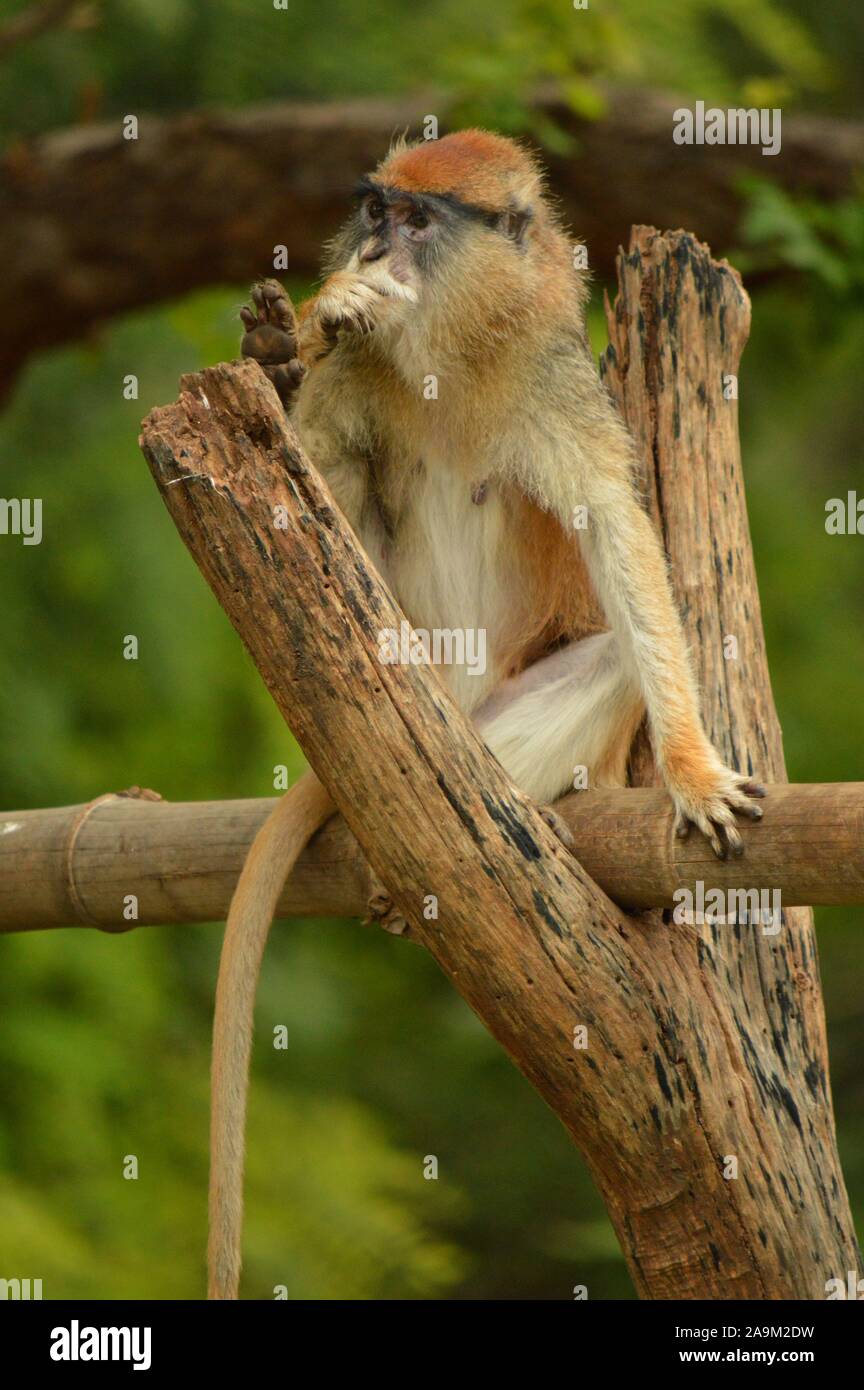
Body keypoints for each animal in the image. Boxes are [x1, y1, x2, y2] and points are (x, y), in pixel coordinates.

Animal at [208, 128, 766, 1299]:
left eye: (421, 222)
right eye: (376, 212)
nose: (376, 247)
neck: (453, 352)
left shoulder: (556, 386)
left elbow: (621, 544)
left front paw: (693, 772)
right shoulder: (363, 377)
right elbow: (297, 474)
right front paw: (308, 323)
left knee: (612, 662)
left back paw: (511, 811)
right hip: (399, 649)